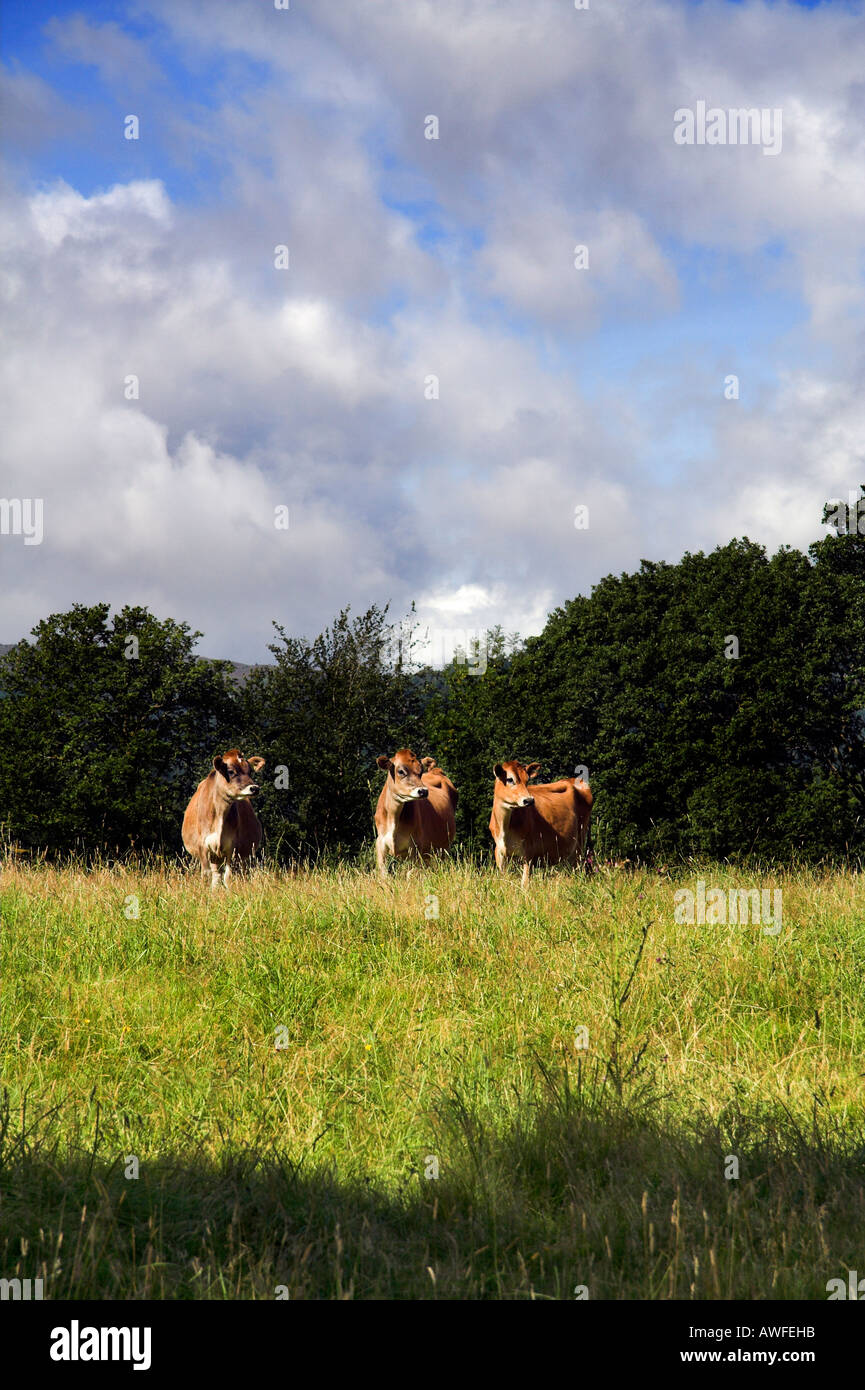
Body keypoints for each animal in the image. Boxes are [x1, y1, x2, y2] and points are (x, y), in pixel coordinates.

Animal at [182, 749, 265, 889]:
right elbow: (206, 875)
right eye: (231, 771)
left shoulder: (233, 848)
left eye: (250, 771)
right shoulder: (203, 847)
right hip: (214, 856)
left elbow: (228, 877)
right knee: (215, 876)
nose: (254, 788)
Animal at [374, 748, 458, 880]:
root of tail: (435, 771)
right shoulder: (380, 843)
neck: (393, 816)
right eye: (401, 771)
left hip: (443, 848)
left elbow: (410, 874)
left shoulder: (415, 847)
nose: (423, 791)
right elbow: (384, 875)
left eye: (421, 771)